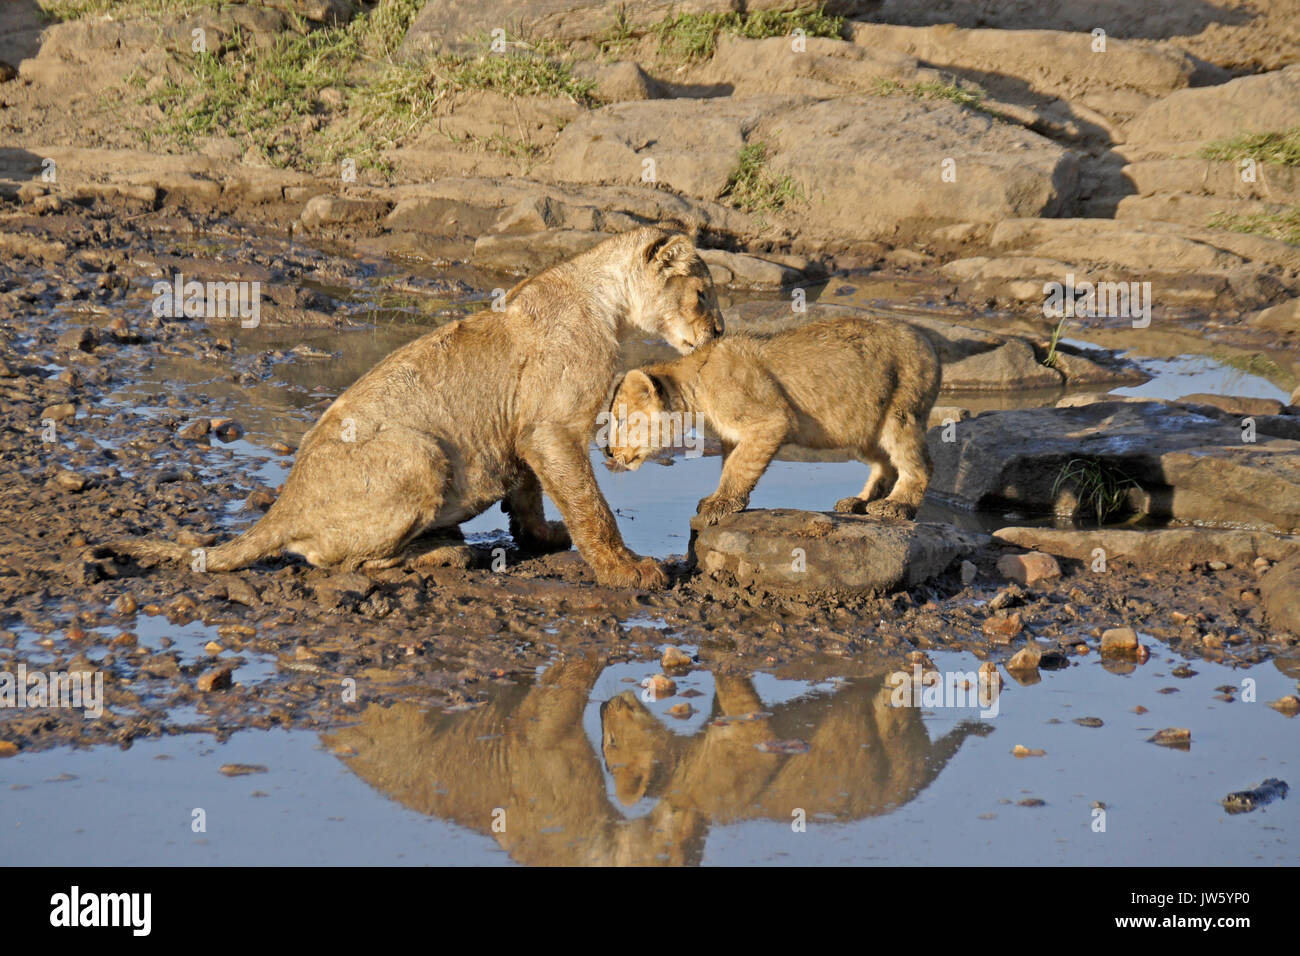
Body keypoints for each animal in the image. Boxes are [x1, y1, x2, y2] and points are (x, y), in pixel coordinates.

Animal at [117, 227, 724, 588]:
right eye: (701, 295)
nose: (719, 332)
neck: (607, 300)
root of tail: (284, 506)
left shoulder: (521, 427)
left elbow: (529, 491)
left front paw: (542, 536)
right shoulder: (553, 428)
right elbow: (590, 506)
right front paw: (627, 570)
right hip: (419, 452)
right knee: (352, 562)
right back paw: (446, 554)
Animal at [603, 315, 941, 524]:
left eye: (621, 420)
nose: (607, 451)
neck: (696, 388)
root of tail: (926, 341)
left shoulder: (772, 420)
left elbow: (739, 466)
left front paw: (719, 504)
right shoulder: (734, 436)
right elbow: (731, 464)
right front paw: (721, 498)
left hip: (900, 413)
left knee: (919, 465)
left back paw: (896, 505)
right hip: (863, 424)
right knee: (884, 464)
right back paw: (859, 502)